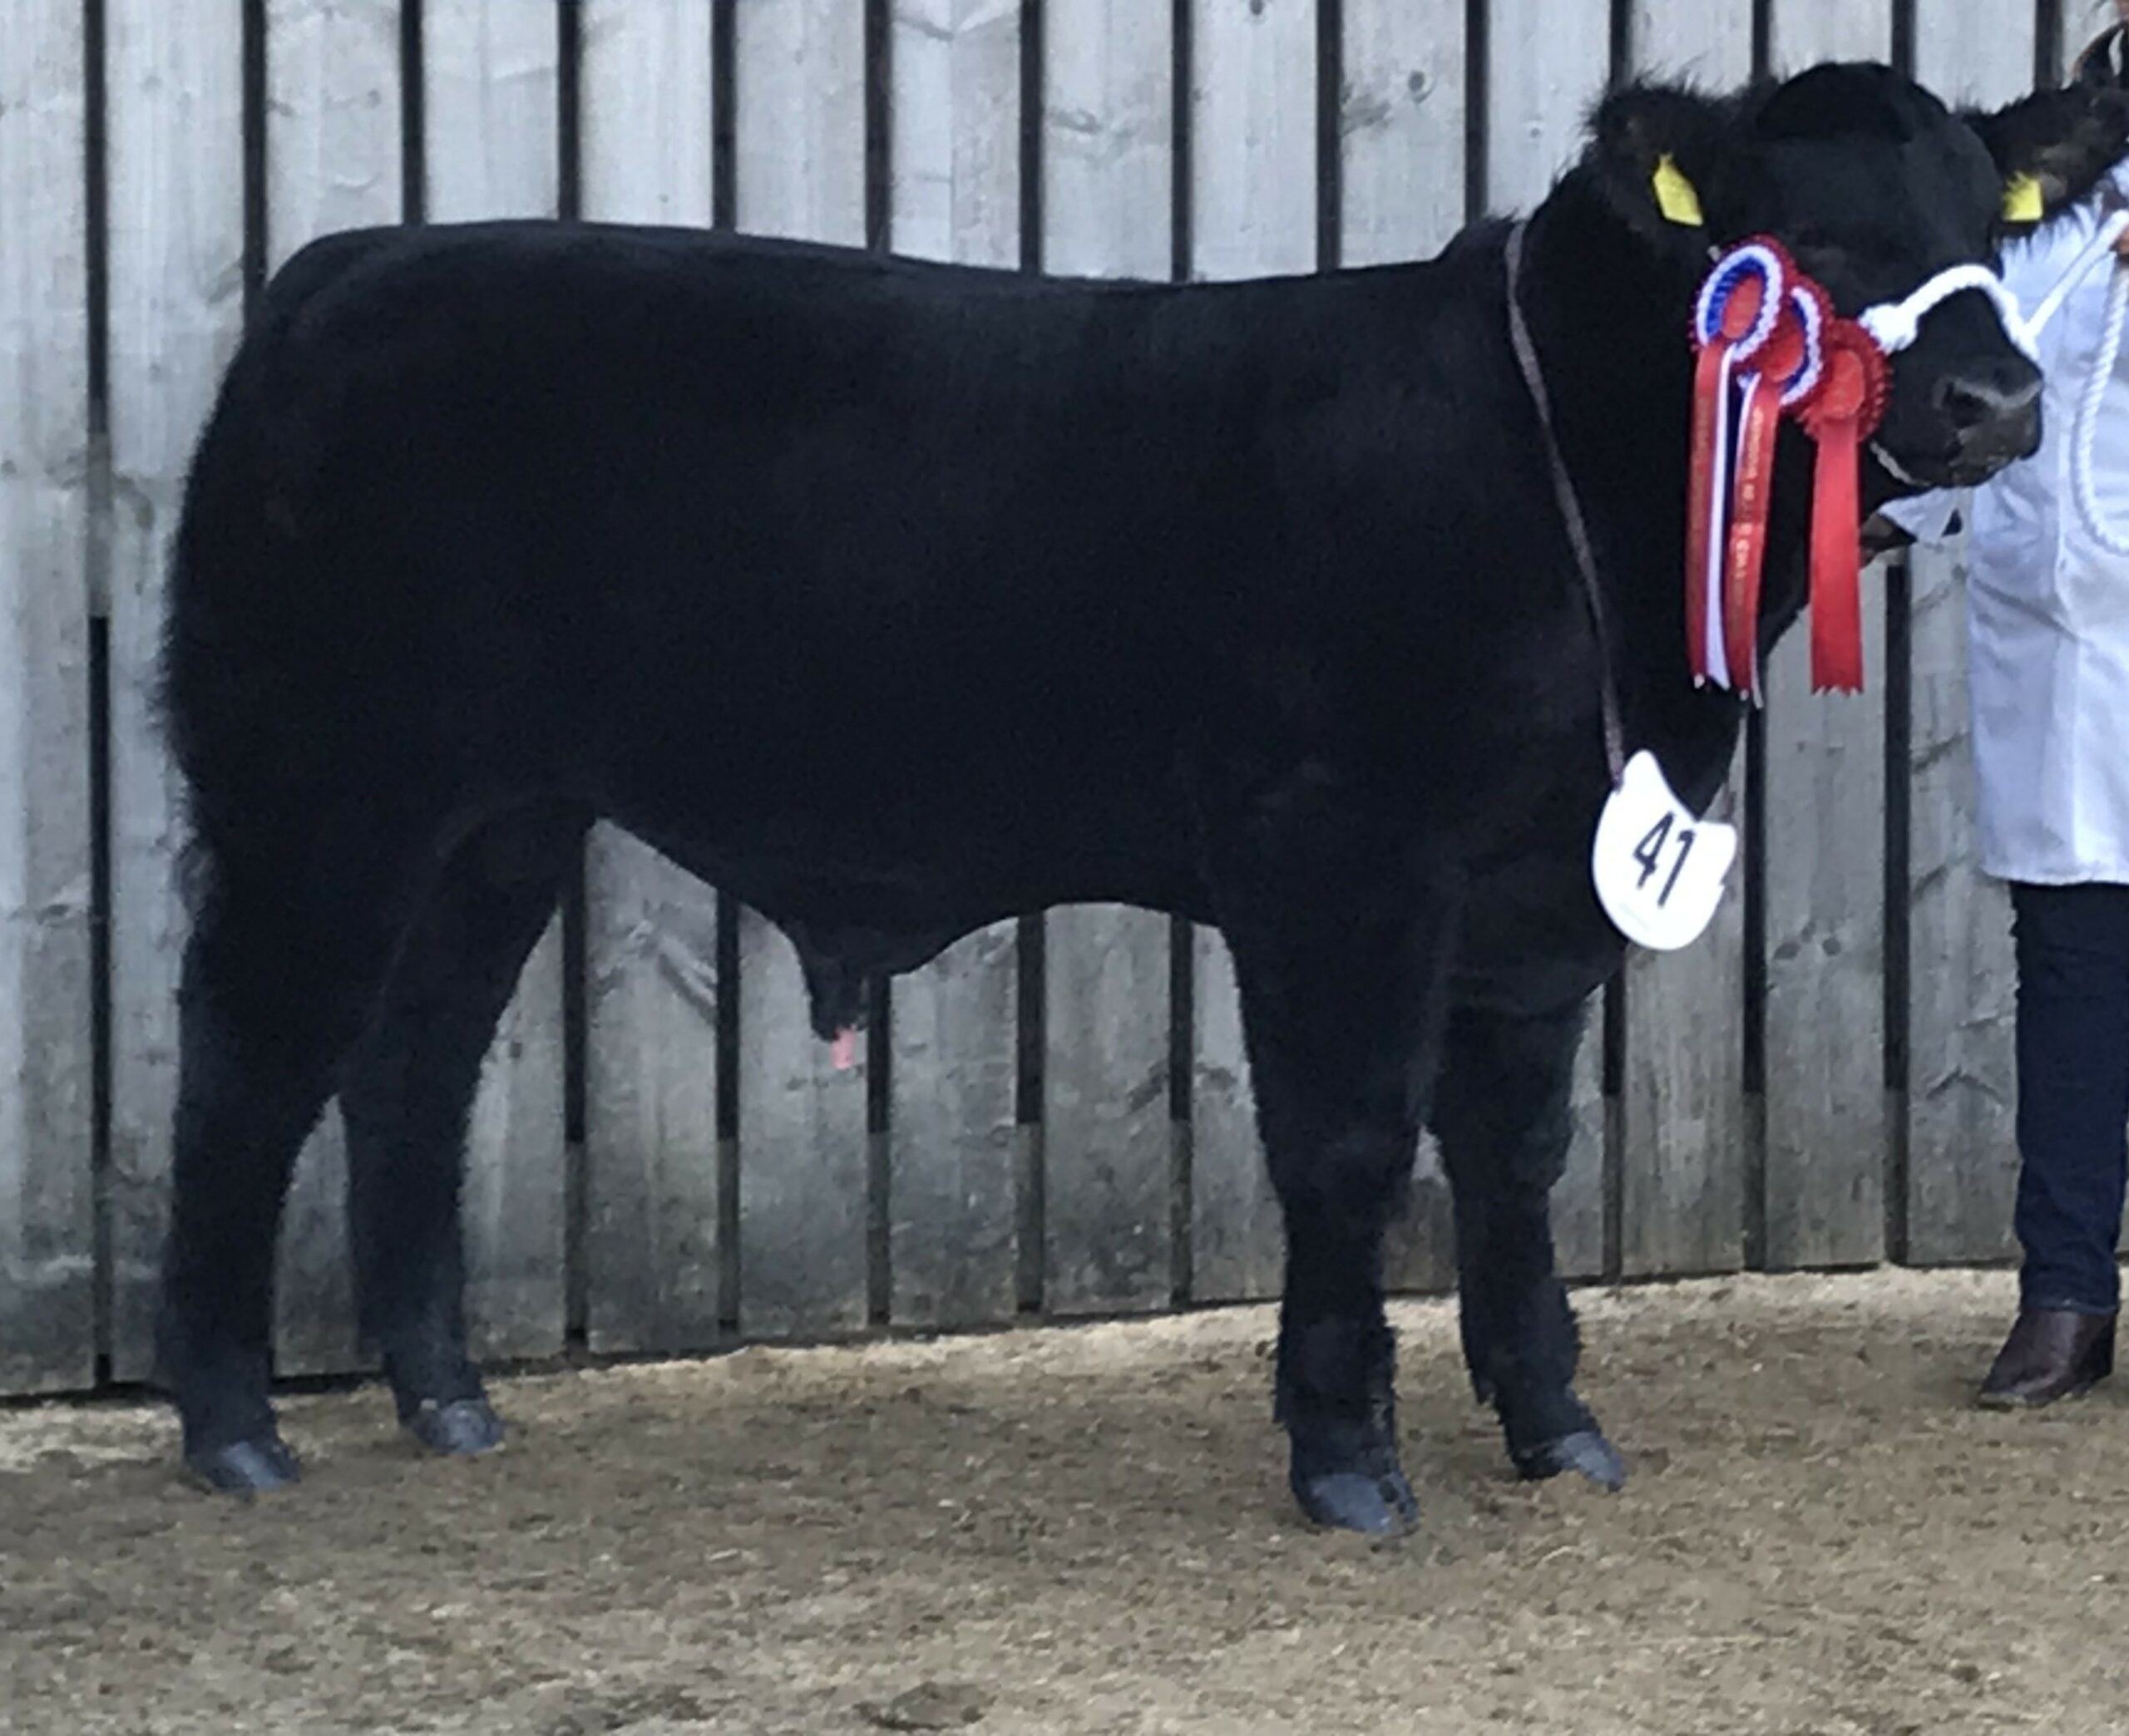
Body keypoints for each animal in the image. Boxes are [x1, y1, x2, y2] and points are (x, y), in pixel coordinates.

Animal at [151, 59, 2129, 1533]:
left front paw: (1554, 1425)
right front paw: (1345, 1459)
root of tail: (351, 264)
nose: (1994, 399)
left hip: (497, 820)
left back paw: (446, 1401)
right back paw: (231, 1424)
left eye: (1986, 226)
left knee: (409, 1068)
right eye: (1809, 232)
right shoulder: (1336, 859)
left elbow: (1514, 1160)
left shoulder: (1535, 897)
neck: (1557, 468)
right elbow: (1347, 1146)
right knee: (251, 1062)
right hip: (316, 784)